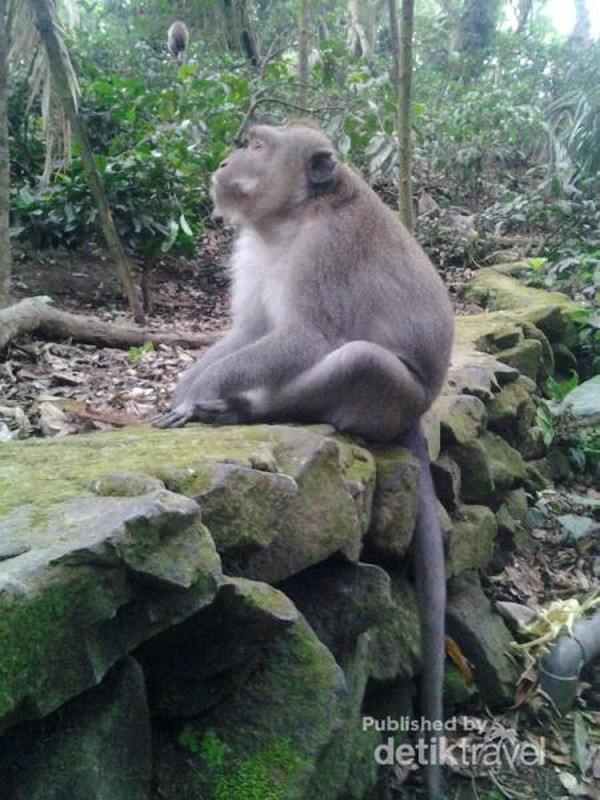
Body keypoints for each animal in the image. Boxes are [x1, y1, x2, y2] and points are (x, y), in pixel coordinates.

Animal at [154, 122, 453, 800]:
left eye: (259, 145)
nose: (226, 160)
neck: (289, 219)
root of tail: (416, 416)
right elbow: (250, 331)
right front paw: (186, 383)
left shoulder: (327, 251)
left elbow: (303, 339)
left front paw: (194, 394)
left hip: (388, 399)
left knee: (356, 357)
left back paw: (241, 409)